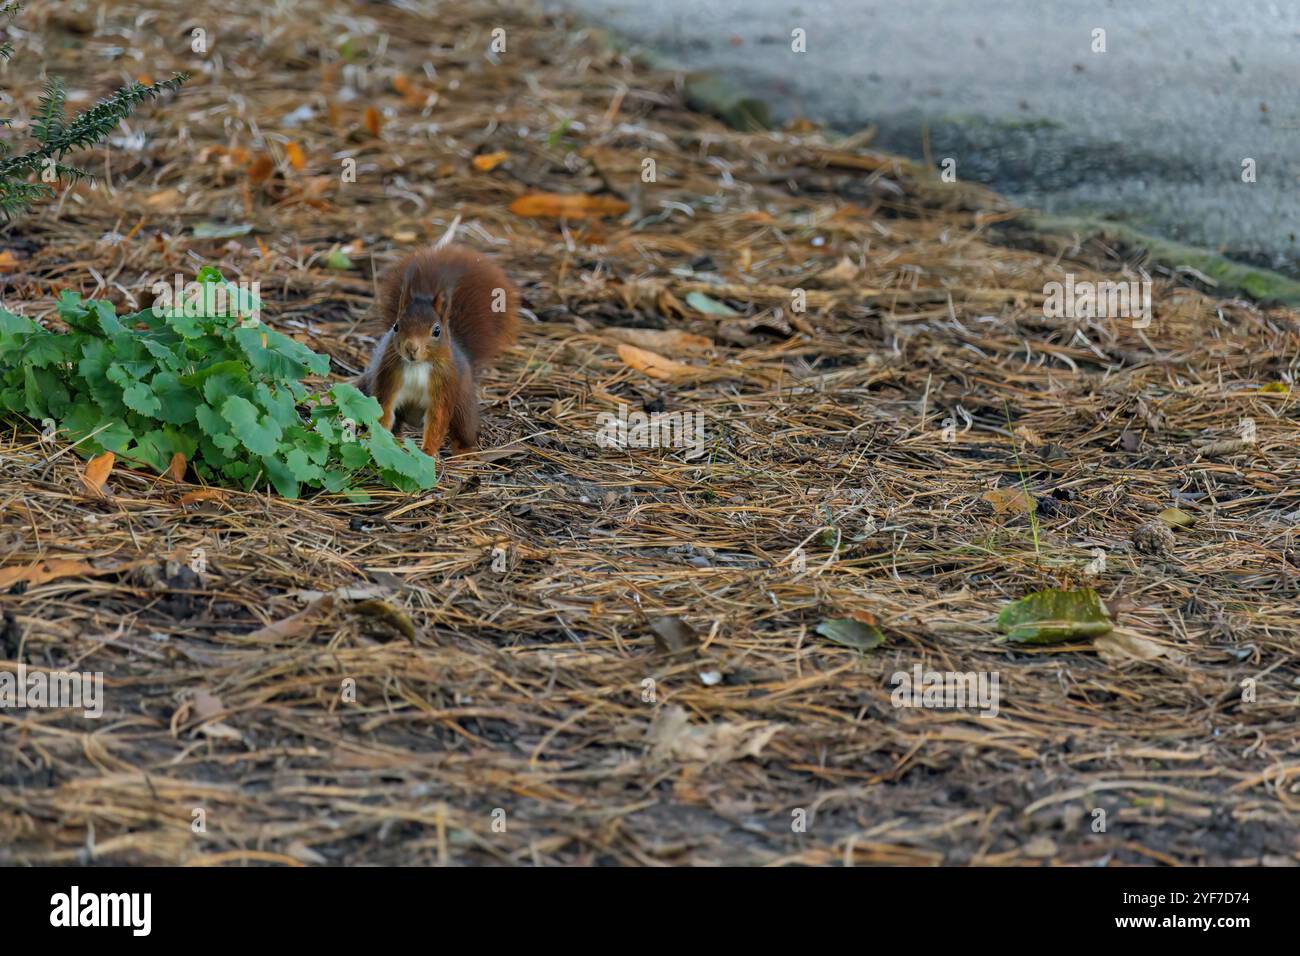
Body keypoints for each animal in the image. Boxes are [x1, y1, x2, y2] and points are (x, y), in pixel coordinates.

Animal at [354, 243, 519, 456]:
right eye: (396, 326)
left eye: (436, 331)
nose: (411, 348)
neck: (417, 366)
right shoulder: (388, 377)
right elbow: (384, 410)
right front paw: (379, 439)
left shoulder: (443, 387)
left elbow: (437, 421)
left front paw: (428, 453)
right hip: (367, 388)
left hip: (463, 405)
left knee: (463, 431)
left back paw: (464, 455)